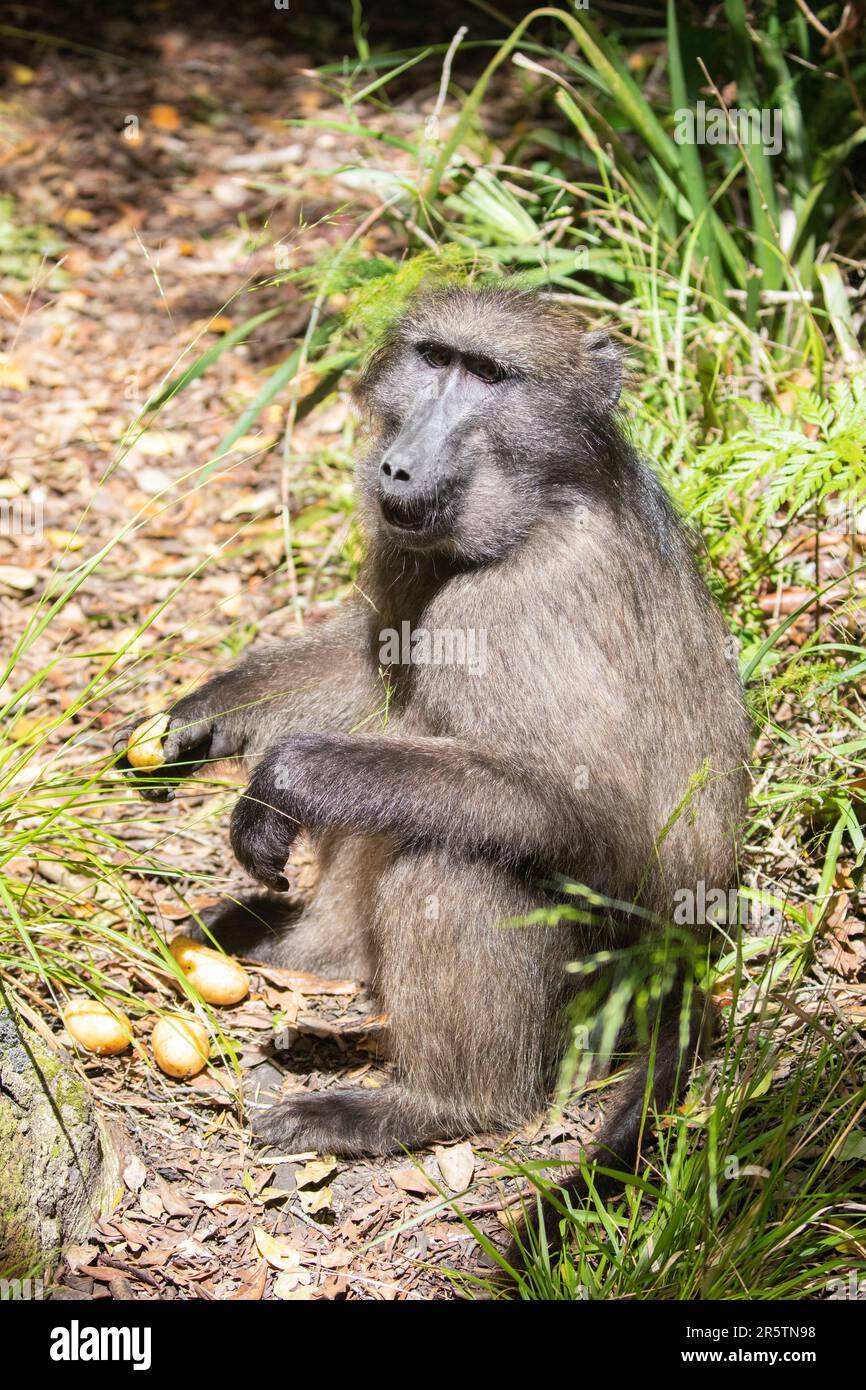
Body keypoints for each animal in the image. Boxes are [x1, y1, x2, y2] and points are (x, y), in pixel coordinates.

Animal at [116, 285, 751, 1232]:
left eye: (487, 374)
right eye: (435, 359)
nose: (397, 469)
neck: (532, 511)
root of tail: (686, 950)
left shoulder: (528, 601)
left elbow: (588, 808)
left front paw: (282, 784)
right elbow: (372, 655)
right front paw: (194, 722)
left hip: (602, 974)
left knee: (453, 853)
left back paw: (430, 1106)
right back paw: (296, 947)